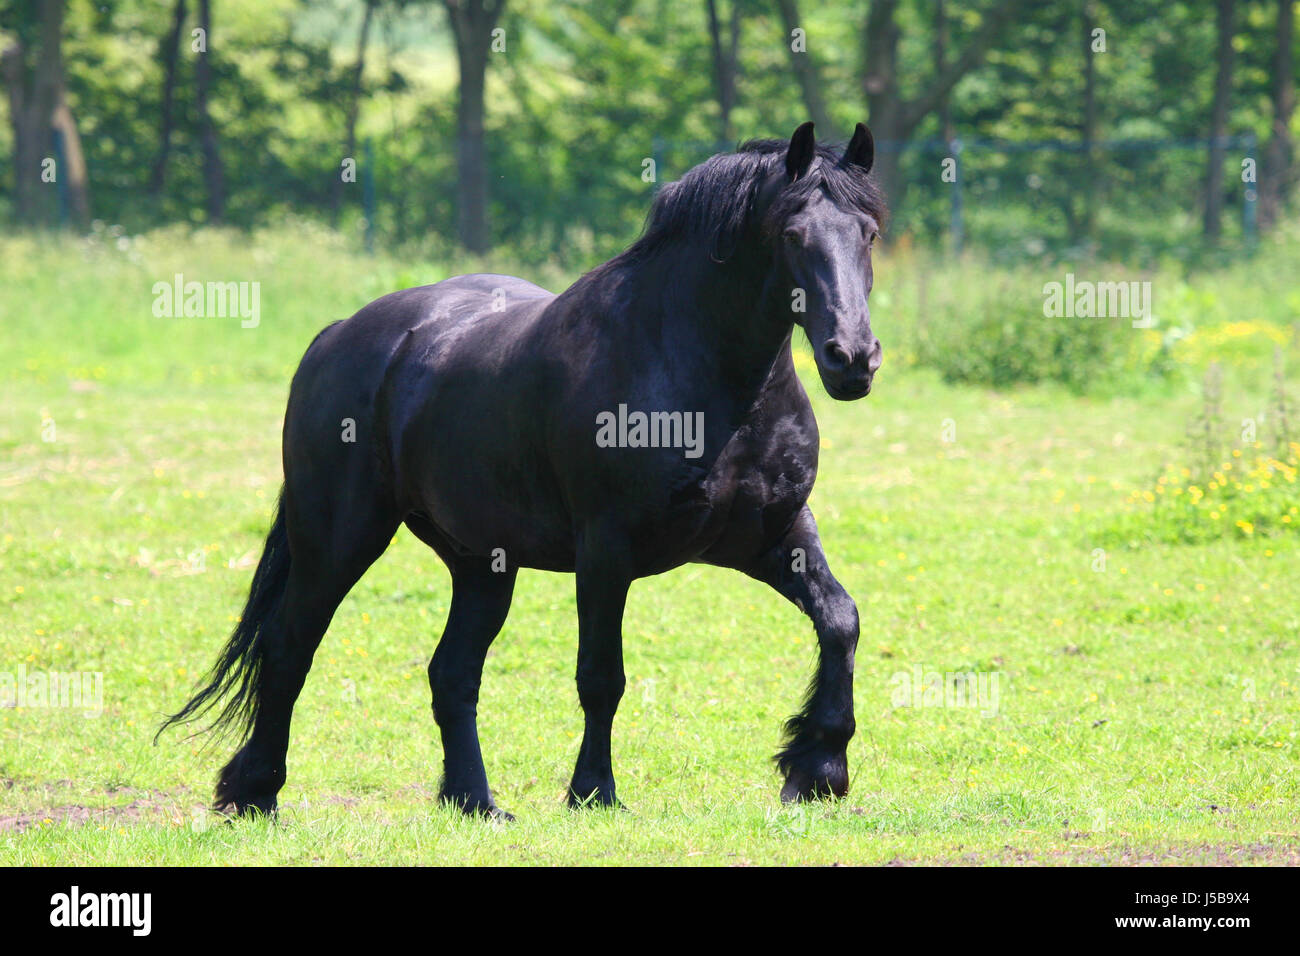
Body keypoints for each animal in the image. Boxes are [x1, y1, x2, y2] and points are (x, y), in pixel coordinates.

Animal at [159, 121, 887, 818]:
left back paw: (474, 802)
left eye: (870, 233)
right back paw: (255, 791)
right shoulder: (607, 549)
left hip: (482, 565)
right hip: (339, 540)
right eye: (791, 234)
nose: (851, 358)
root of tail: (339, 335)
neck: (709, 377)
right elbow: (601, 675)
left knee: (450, 673)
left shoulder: (773, 535)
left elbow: (840, 619)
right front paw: (594, 792)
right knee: (290, 647)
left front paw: (817, 769)